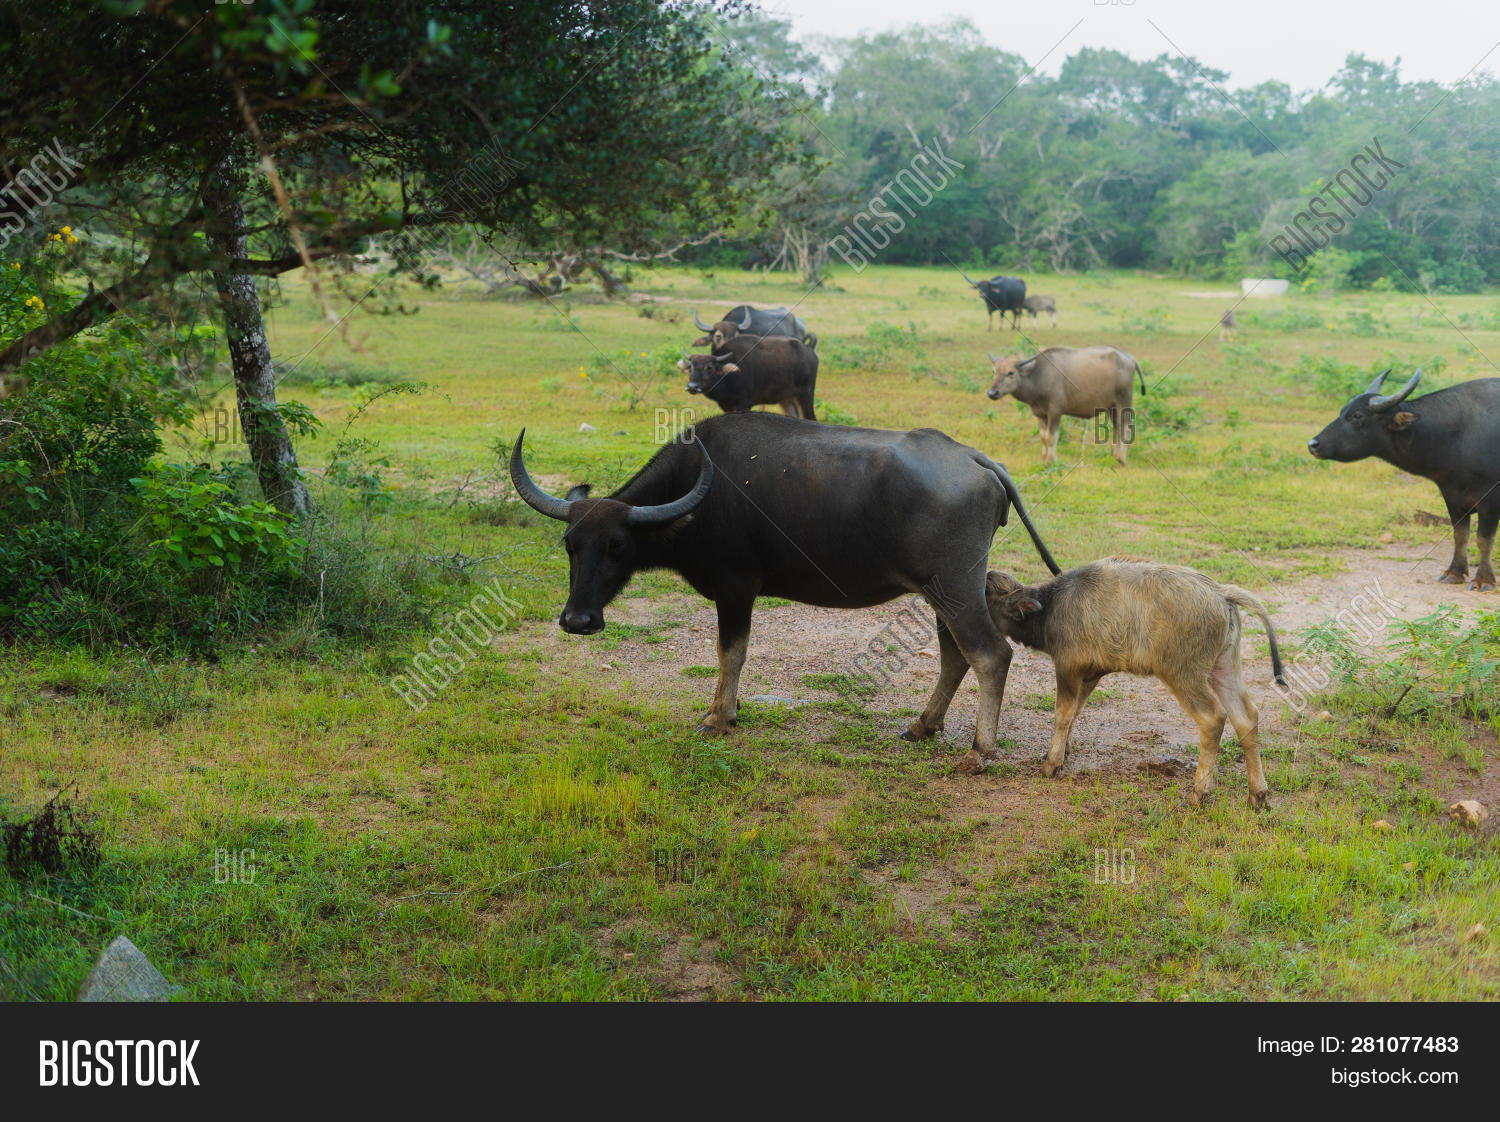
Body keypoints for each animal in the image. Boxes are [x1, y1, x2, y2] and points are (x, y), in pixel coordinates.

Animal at [509, 412, 1063, 767]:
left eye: (618, 546)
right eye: (570, 545)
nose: (577, 620)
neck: (698, 496)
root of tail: (975, 459)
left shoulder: (736, 588)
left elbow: (731, 652)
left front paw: (719, 716)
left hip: (955, 586)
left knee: (989, 655)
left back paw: (981, 751)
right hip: (940, 593)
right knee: (953, 655)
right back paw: (923, 726)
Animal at [678, 332, 818, 420]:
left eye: (709, 367)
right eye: (691, 367)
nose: (692, 386)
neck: (728, 377)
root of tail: (809, 350)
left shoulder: (744, 404)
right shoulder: (727, 407)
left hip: (805, 395)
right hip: (786, 399)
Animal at [986, 345, 1146, 466]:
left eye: (1010, 372)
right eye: (994, 371)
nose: (992, 393)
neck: (1038, 376)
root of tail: (1129, 357)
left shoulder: (1055, 412)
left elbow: (1051, 437)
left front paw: (1051, 460)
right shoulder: (1040, 414)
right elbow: (1043, 437)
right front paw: (1043, 458)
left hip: (1123, 402)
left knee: (1126, 427)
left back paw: (1121, 459)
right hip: (1111, 407)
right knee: (1117, 428)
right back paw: (1114, 456)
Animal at [1308, 369, 1500, 591]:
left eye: (1357, 416)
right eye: (1342, 411)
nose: (1313, 444)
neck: (1457, 436)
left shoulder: (1490, 499)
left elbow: (1483, 540)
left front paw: (1484, 580)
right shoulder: (1452, 496)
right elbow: (1460, 536)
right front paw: (1454, 573)